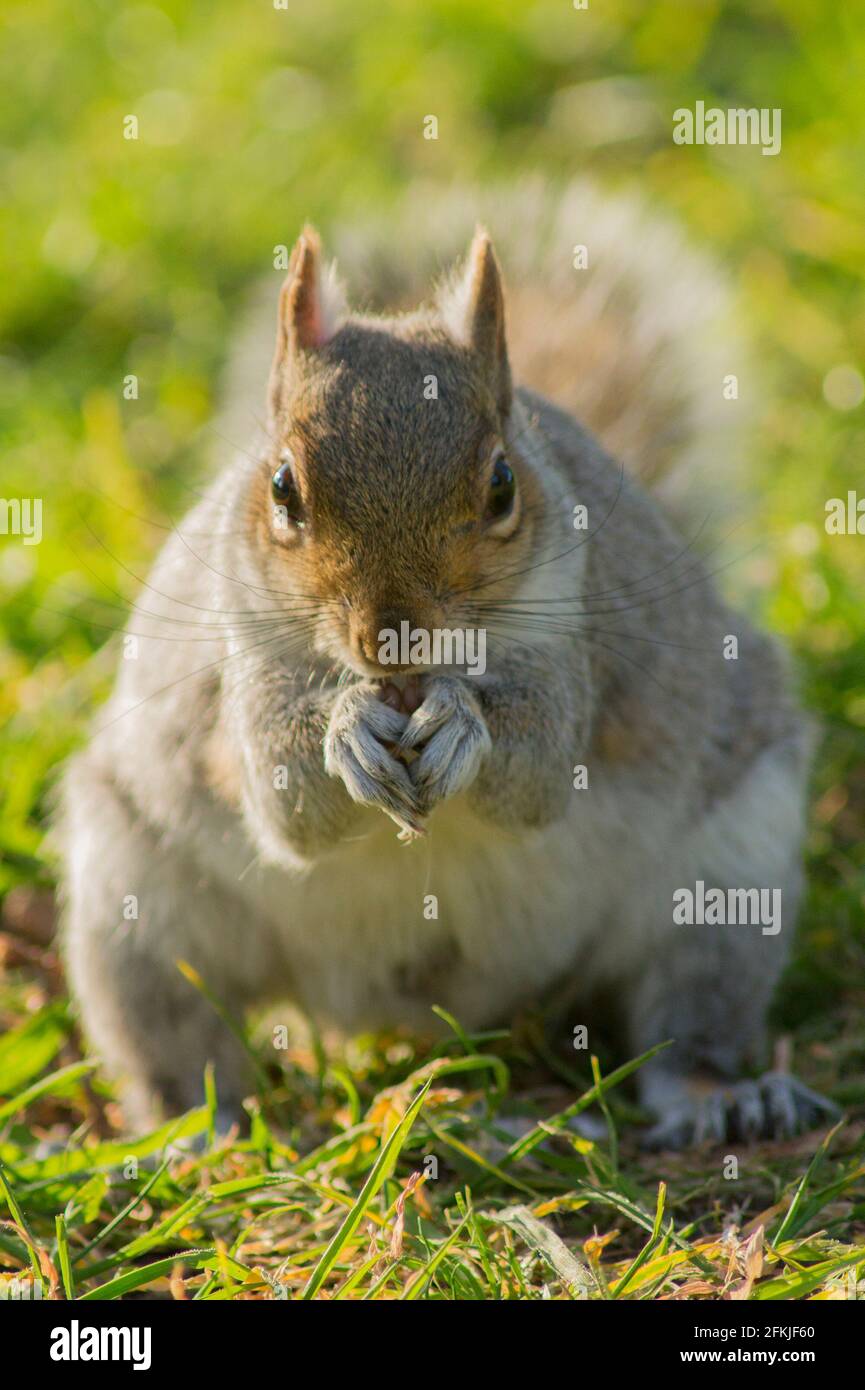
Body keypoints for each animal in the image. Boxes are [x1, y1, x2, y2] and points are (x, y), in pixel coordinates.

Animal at [58, 181, 838, 1148]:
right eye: (281, 489)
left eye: (502, 485)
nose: (390, 640)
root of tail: (424, 1019)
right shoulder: (247, 657)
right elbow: (284, 799)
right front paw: (346, 728)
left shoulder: (567, 643)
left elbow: (537, 769)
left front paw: (464, 724)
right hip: (133, 899)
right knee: (177, 1043)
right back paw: (197, 1130)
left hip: (726, 877)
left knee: (684, 1022)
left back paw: (720, 1095)